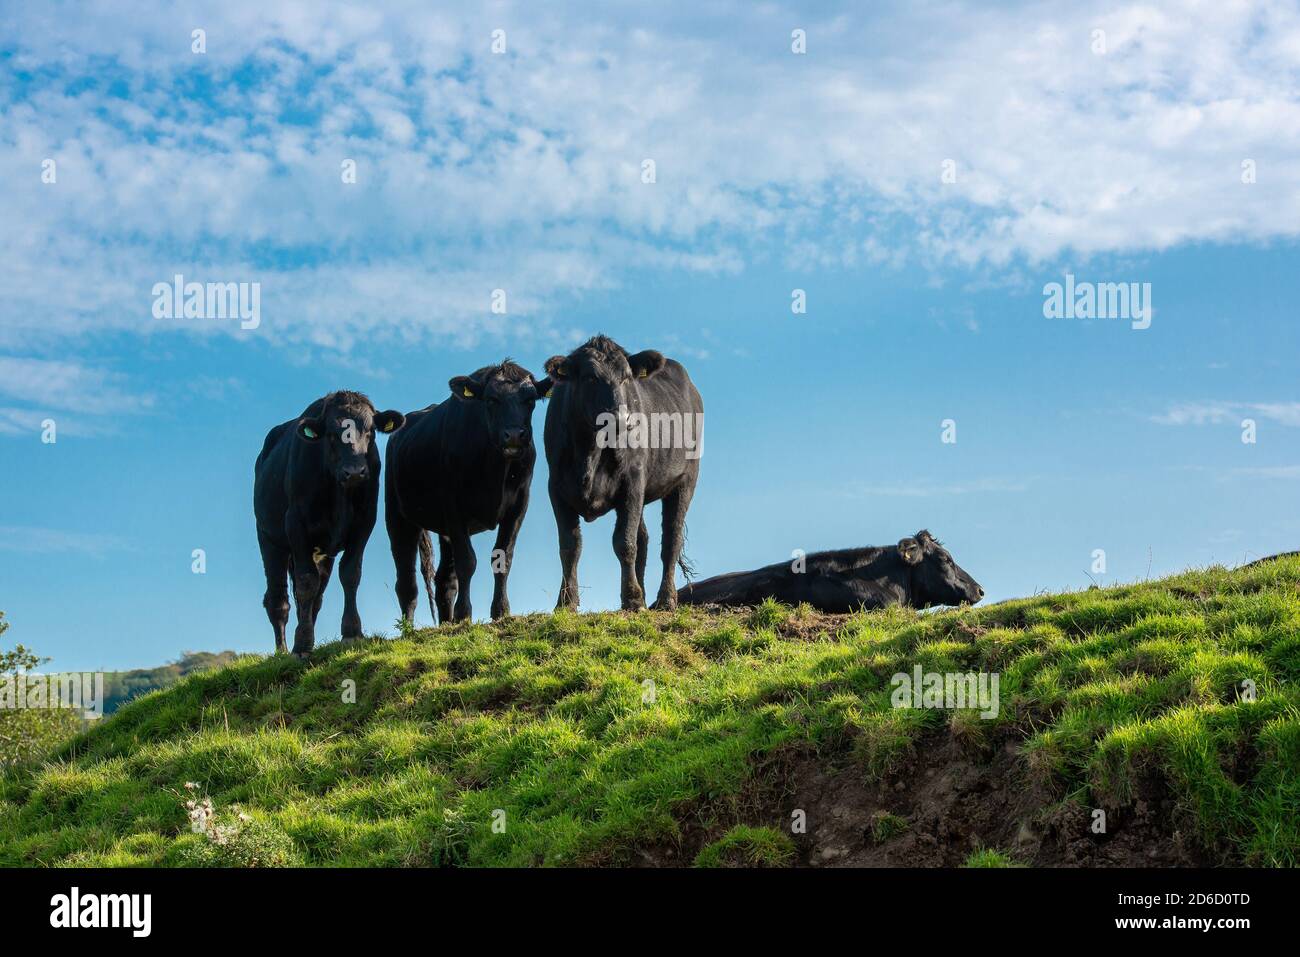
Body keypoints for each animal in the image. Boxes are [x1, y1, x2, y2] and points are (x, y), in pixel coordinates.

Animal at [253, 391, 405, 657]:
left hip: (322, 552)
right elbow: (306, 582)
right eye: (333, 434)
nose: (354, 471)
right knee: (278, 600)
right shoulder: (296, 524)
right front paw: (302, 645)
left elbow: (350, 574)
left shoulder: (364, 522)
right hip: (269, 540)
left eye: (371, 431)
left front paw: (352, 632)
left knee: (316, 598)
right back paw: (282, 651)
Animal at [385, 360, 549, 624]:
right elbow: (467, 562)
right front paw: (464, 615)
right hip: (398, 516)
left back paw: (445, 623)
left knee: (444, 580)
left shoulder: (518, 506)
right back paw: (408, 627)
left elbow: (503, 557)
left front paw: (501, 610)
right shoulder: (454, 506)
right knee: (406, 580)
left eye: (531, 400)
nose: (514, 435)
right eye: (491, 399)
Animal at [542, 335, 703, 611]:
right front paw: (565, 602)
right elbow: (570, 546)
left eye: (626, 377)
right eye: (590, 377)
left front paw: (633, 599)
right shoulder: (557, 488)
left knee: (670, 540)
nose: (620, 418)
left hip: (685, 480)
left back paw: (666, 599)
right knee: (645, 539)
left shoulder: (632, 483)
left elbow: (624, 543)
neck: (590, 451)